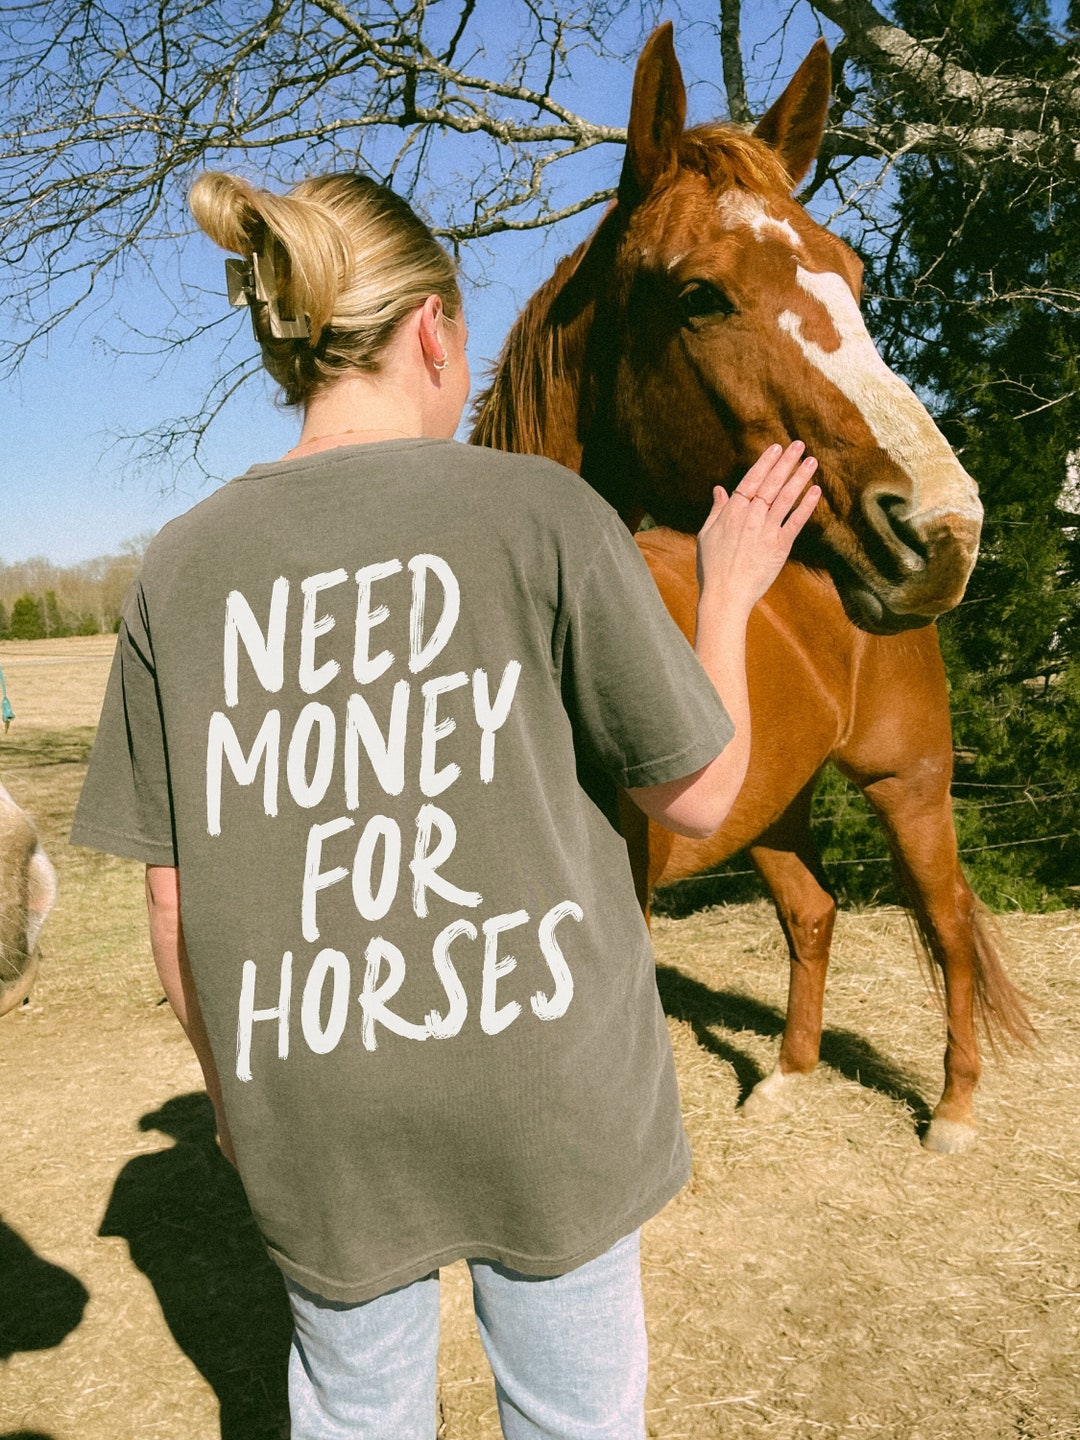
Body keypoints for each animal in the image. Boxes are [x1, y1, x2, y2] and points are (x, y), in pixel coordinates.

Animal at [472, 24, 1035, 1153]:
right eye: (701, 294)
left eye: (854, 274)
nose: (946, 532)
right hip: (776, 804)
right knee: (811, 913)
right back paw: (786, 1074)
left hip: (911, 787)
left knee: (949, 925)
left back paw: (952, 1110)